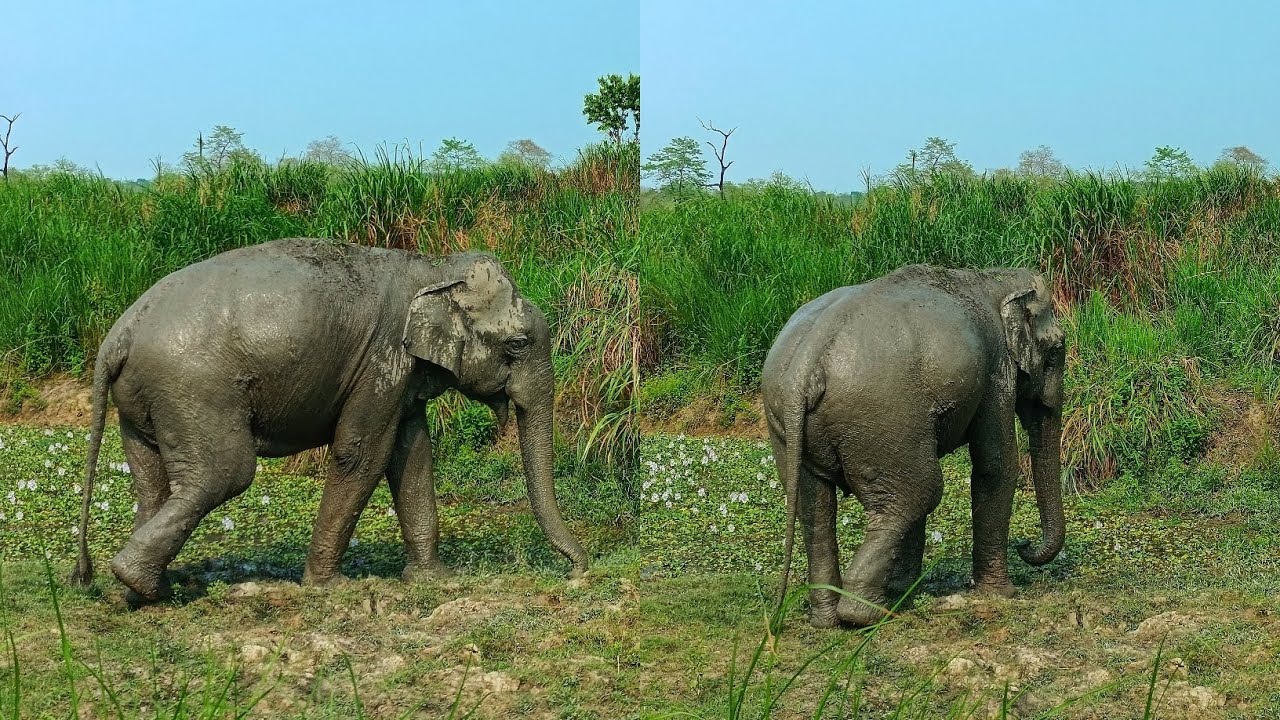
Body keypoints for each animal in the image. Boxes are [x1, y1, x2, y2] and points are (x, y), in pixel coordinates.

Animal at [69, 237, 589, 603]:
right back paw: (143, 583)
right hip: (192, 390)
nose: (580, 570)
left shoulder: (402, 376)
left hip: (143, 404)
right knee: (224, 473)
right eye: (519, 344)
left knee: (152, 482)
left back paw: (143, 590)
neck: (434, 267)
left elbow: (413, 455)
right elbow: (362, 454)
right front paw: (329, 587)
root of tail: (117, 335)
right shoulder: (384, 358)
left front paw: (436, 580)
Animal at [761, 264, 1066, 629]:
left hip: (788, 425)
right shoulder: (997, 371)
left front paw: (905, 588)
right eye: (1057, 350)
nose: (1025, 544)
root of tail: (805, 365)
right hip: (881, 418)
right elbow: (996, 467)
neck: (994, 278)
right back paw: (869, 614)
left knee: (817, 508)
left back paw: (830, 618)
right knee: (918, 492)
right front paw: (1003, 595)